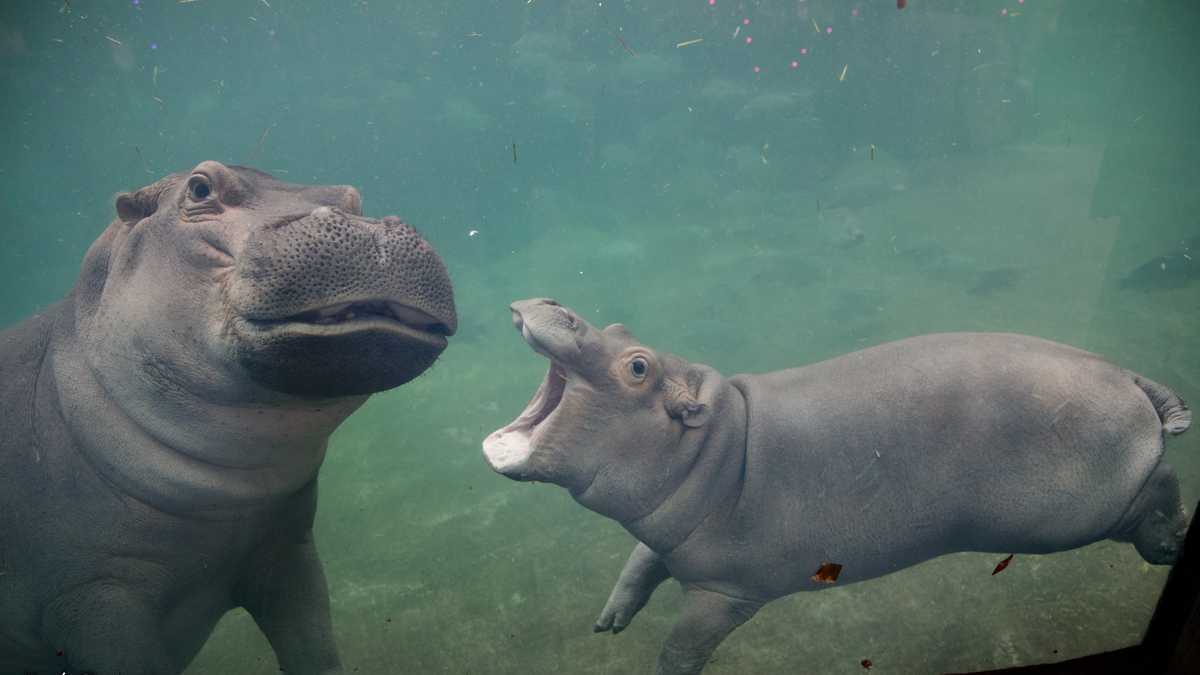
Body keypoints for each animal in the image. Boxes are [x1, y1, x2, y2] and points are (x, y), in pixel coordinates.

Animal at [0, 162, 456, 674]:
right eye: (200, 187)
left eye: (353, 198)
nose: (368, 226)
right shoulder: (91, 593)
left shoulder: (286, 548)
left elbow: (314, 645)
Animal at [482, 298, 1191, 675]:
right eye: (623, 331)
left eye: (636, 366)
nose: (559, 308)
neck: (717, 446)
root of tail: (1127, 374)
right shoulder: (664, 532)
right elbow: (638, 561)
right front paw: (608, 622)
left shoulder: (726, 592)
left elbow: (683, 644)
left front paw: (665, 667)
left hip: (1083, 510)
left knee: (1160, 480)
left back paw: (1168, 546)